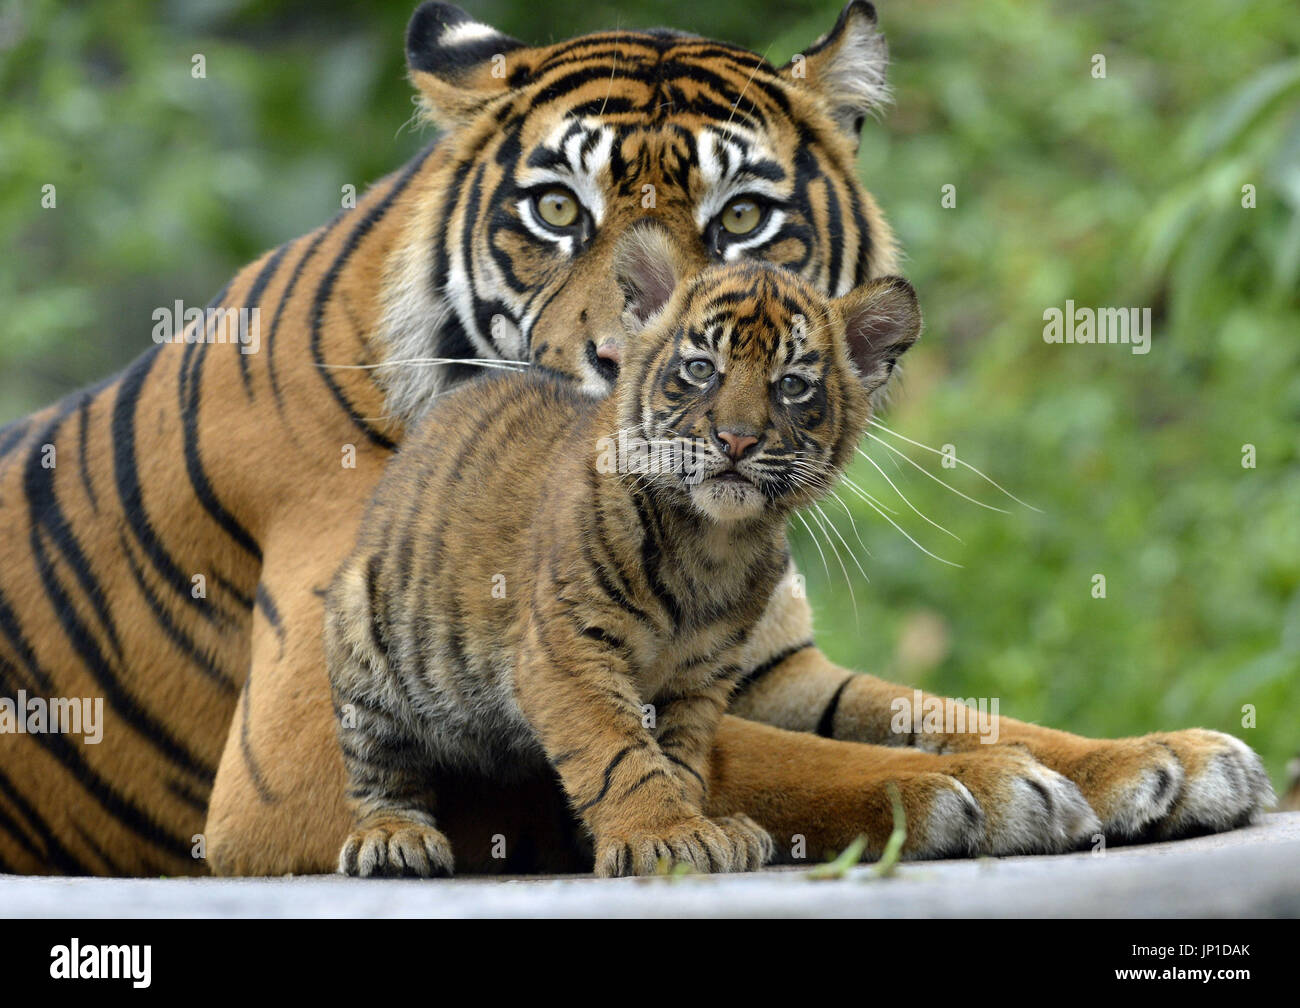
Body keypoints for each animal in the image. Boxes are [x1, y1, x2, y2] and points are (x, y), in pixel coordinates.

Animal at [0, 1, 1272, 878]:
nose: (635, 367)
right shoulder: (295, 764)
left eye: (742, 217)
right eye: (558, 211)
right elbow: (728, 754)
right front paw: (992, 791)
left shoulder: (766, 662)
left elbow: (942, 705)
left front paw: (1158, 760)